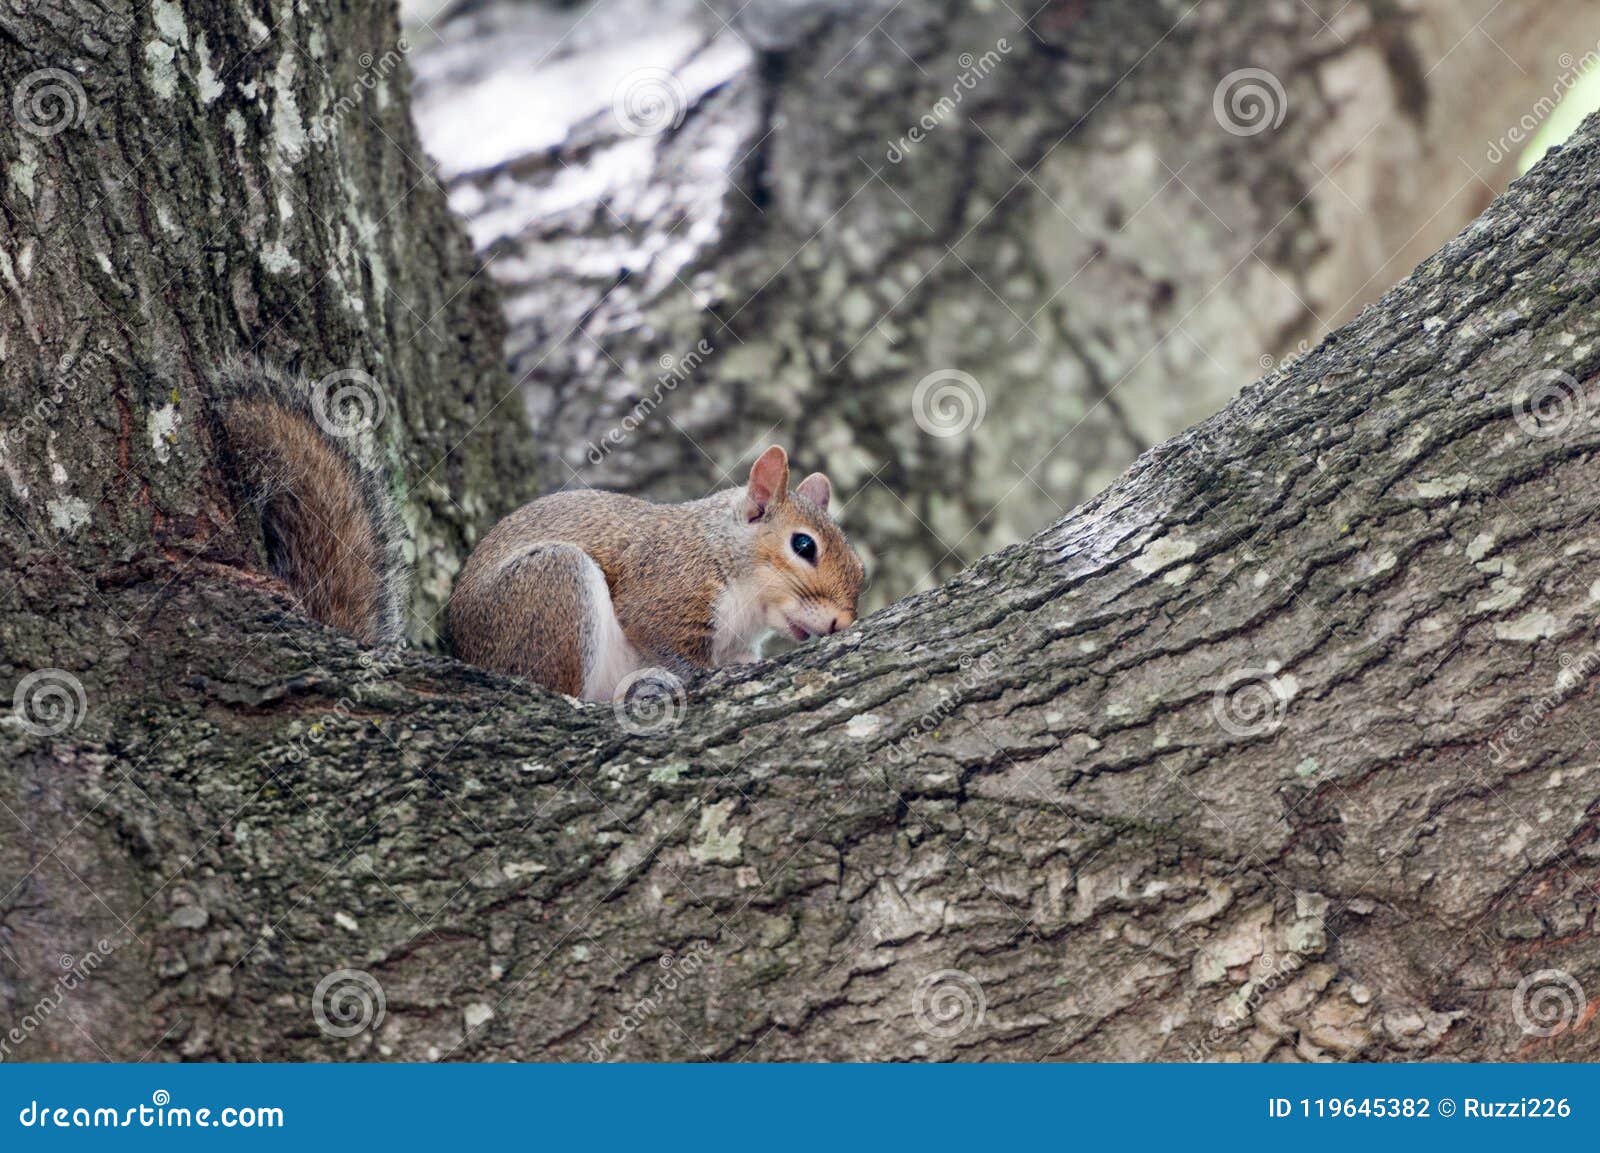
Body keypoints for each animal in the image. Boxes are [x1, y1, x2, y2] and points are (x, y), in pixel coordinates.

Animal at [447, 445, 866, 699]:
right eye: (804, 545)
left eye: (861, 569)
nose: (842, 623)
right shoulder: (668, 588)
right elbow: (658, 637)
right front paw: (702, 674)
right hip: (550, 586)